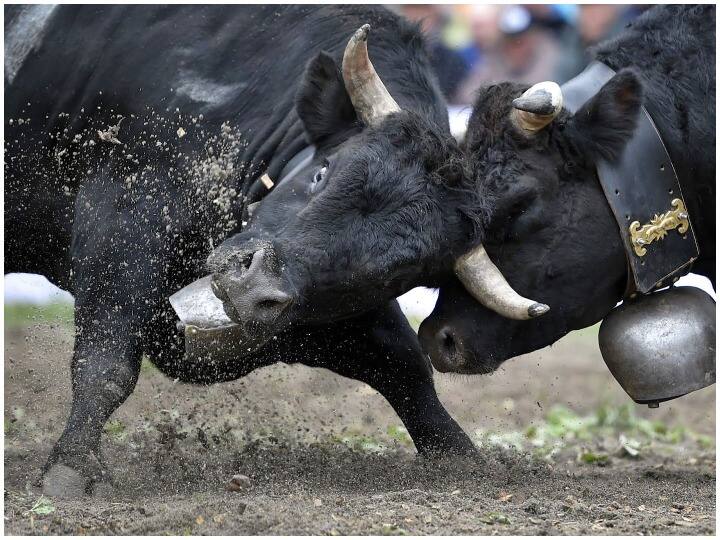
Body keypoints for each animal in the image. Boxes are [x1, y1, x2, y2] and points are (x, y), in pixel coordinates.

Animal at [5, 5, 487, 496]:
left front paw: (456, 455)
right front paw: (73, 466)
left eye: (398, 272)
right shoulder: (124, 217)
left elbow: (404, 363)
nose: (251, 285)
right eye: (322, 172)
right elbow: (107, 364)